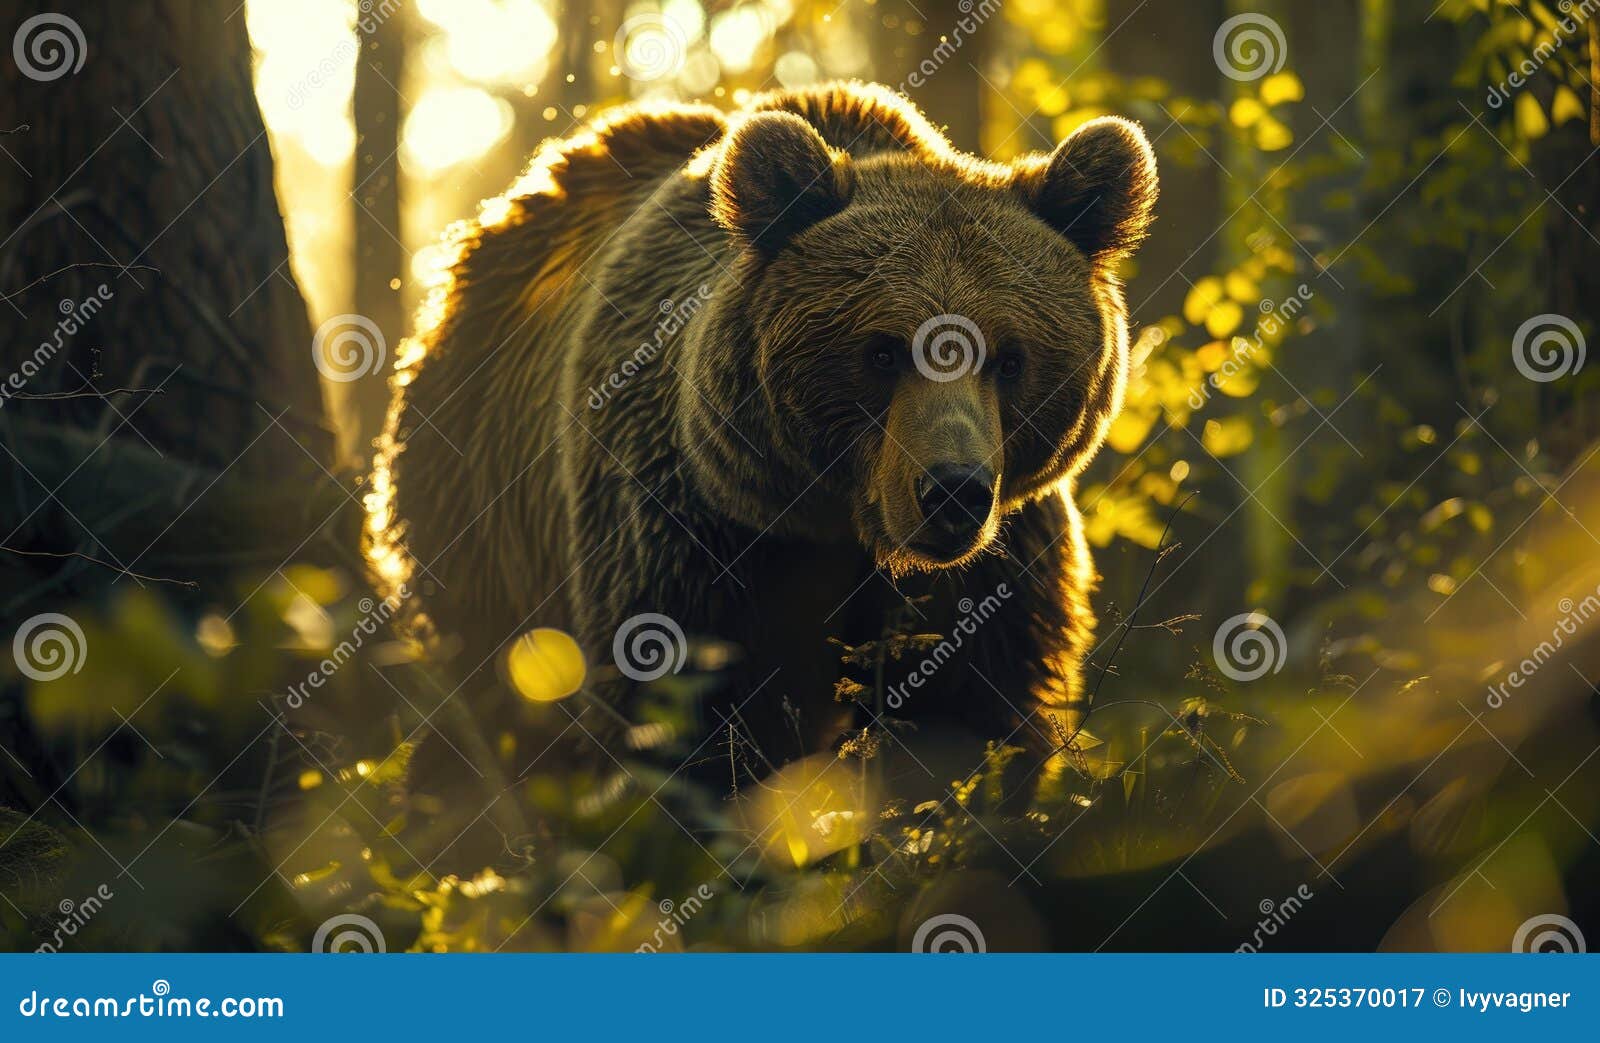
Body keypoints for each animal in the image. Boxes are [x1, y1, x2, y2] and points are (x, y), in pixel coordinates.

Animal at [364, 81, 1158, 785]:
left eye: (1010, 357)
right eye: (882, 352)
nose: (952, 492)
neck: (834, 519)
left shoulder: (996, 569)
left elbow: (974, 713)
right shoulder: (688, 538)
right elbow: (691, 726)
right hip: (473, 508)